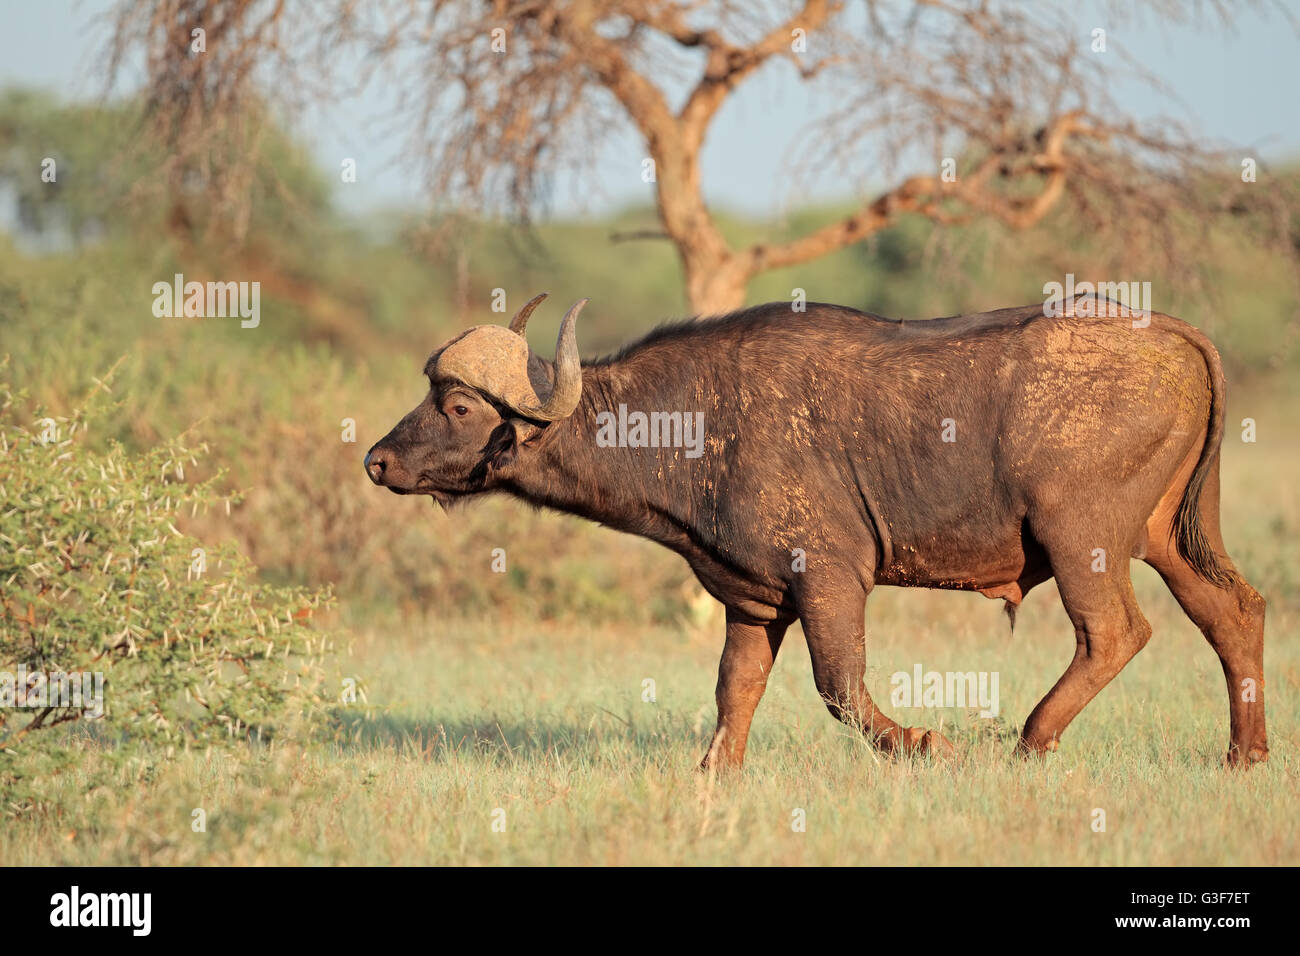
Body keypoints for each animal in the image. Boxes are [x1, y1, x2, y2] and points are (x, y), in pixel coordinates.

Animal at [365, 293, 1267, 769]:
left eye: (458, 406)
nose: (376, 461)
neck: (694, 421)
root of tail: (1170, 330)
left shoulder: (831, 578)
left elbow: (840, 688)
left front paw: (924, 742)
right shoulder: (753, 600)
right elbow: (734, 691)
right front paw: (714, 774)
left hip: (1082, 538)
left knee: (1114, 633)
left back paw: (1030, 740)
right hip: (1169, 539)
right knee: (1234, 611)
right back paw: (1244, 754)